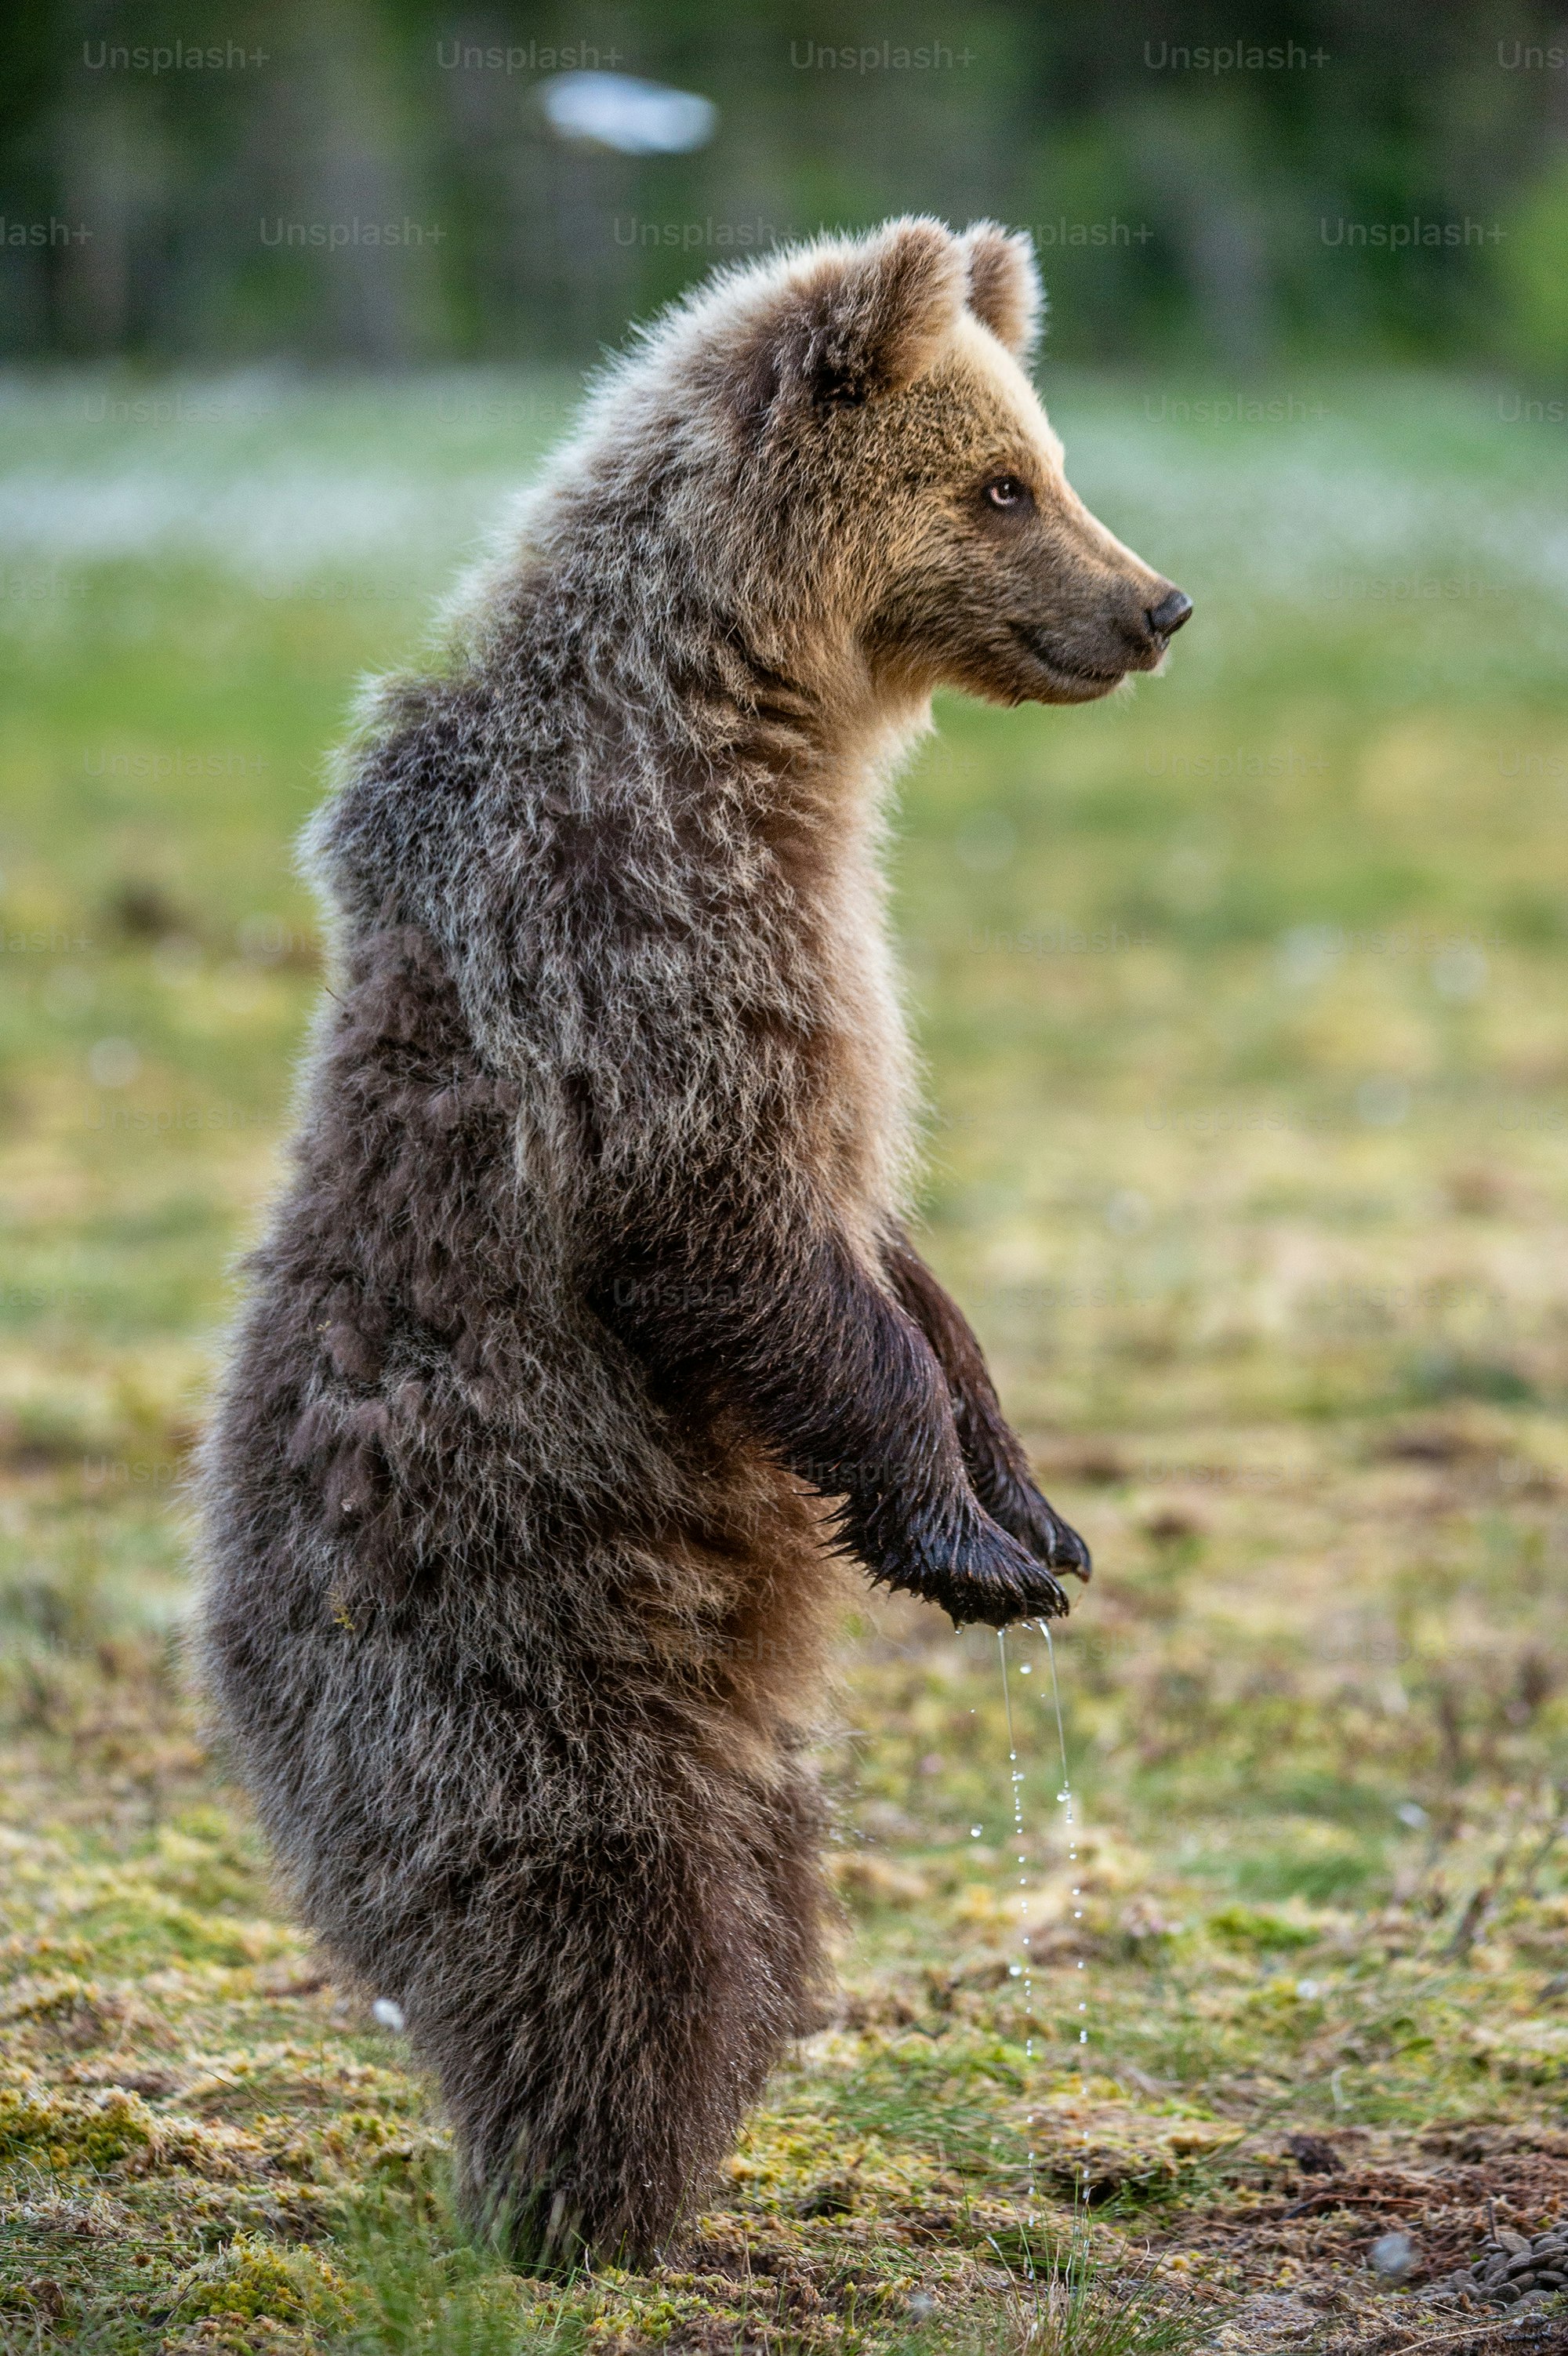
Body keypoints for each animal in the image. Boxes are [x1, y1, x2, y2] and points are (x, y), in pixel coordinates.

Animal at [198, 216, 1190, 2270]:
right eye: (1002, 483)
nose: (1156, 604)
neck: (751, 728)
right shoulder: (634, 932)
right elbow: (730, 1233)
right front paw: (972, 1547)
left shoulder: (828, 985)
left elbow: (891, 1256)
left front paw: (1034, 1503)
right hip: (514, 1633)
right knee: (600, 1910)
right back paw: (586, 2197)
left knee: (758, 1883)